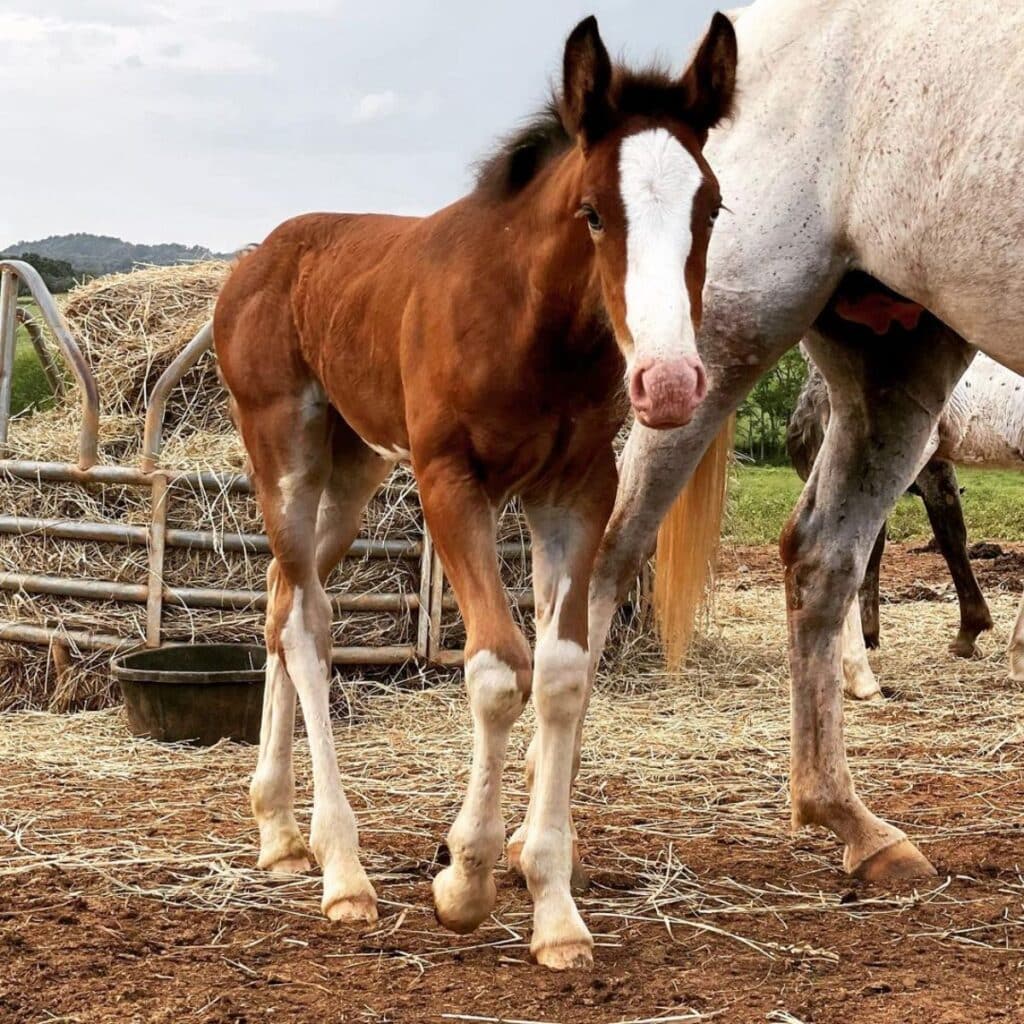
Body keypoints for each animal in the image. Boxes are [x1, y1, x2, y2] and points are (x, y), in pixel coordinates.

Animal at [213, 14, 738, 970]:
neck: (533, 324)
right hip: (285, 451)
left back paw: (278, 830)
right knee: (307, 625)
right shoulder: (451, 481)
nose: (671, 382)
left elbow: (563, 673)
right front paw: (465, 881)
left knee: (279, 598)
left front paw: (556, 912)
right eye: (593, 211)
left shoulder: (577, 489)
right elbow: (498, 670)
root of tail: (256, 259)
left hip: (354, 469)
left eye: (709, 206)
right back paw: (343, 870)